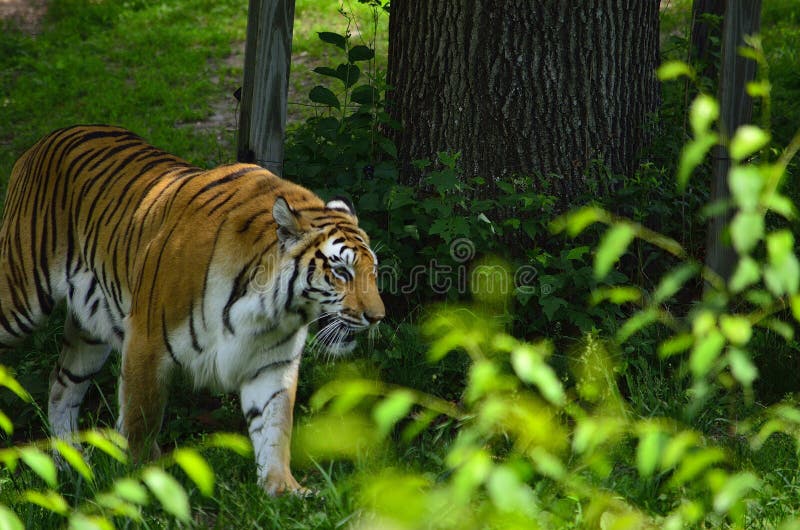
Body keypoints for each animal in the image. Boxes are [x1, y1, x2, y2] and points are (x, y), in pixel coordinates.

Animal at [0, 124, 385, 495]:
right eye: (342, 272)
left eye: (374, 270)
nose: (377, 317)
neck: (271, 309)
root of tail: (43, 141)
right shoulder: (146, 344)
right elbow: (141, 419)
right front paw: (144, 480)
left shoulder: (271, 364)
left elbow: (275, 428)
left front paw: (283, 489)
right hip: (20, 298)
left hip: (91, 331)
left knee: (60, 385)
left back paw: (69, 464)